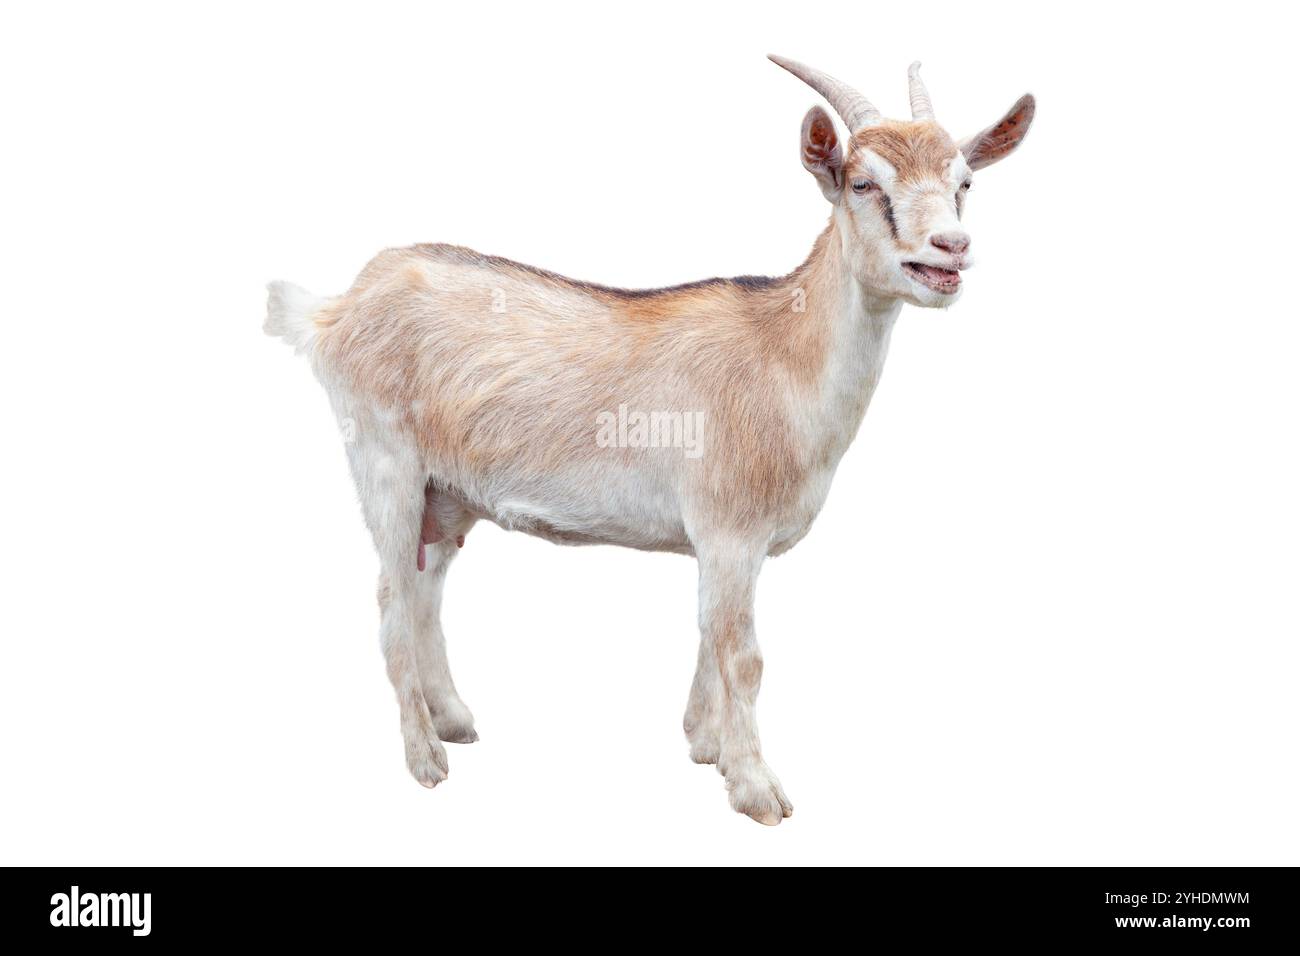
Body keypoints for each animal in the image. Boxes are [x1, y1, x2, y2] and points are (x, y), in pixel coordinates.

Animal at [265, 56, 1035, 825]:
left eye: (964, 182)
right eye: (863, 183)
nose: (950, 248)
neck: (782, 354)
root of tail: (341, 307)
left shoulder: (729, 541)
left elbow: (709, 634)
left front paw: (706, 747)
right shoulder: (728, 526)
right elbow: (743, 654)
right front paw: (758, 789)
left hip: (445, 493)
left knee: (426, 589)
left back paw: (452, 718)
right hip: (384, 460)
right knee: (391, 601)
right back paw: (426, 759)